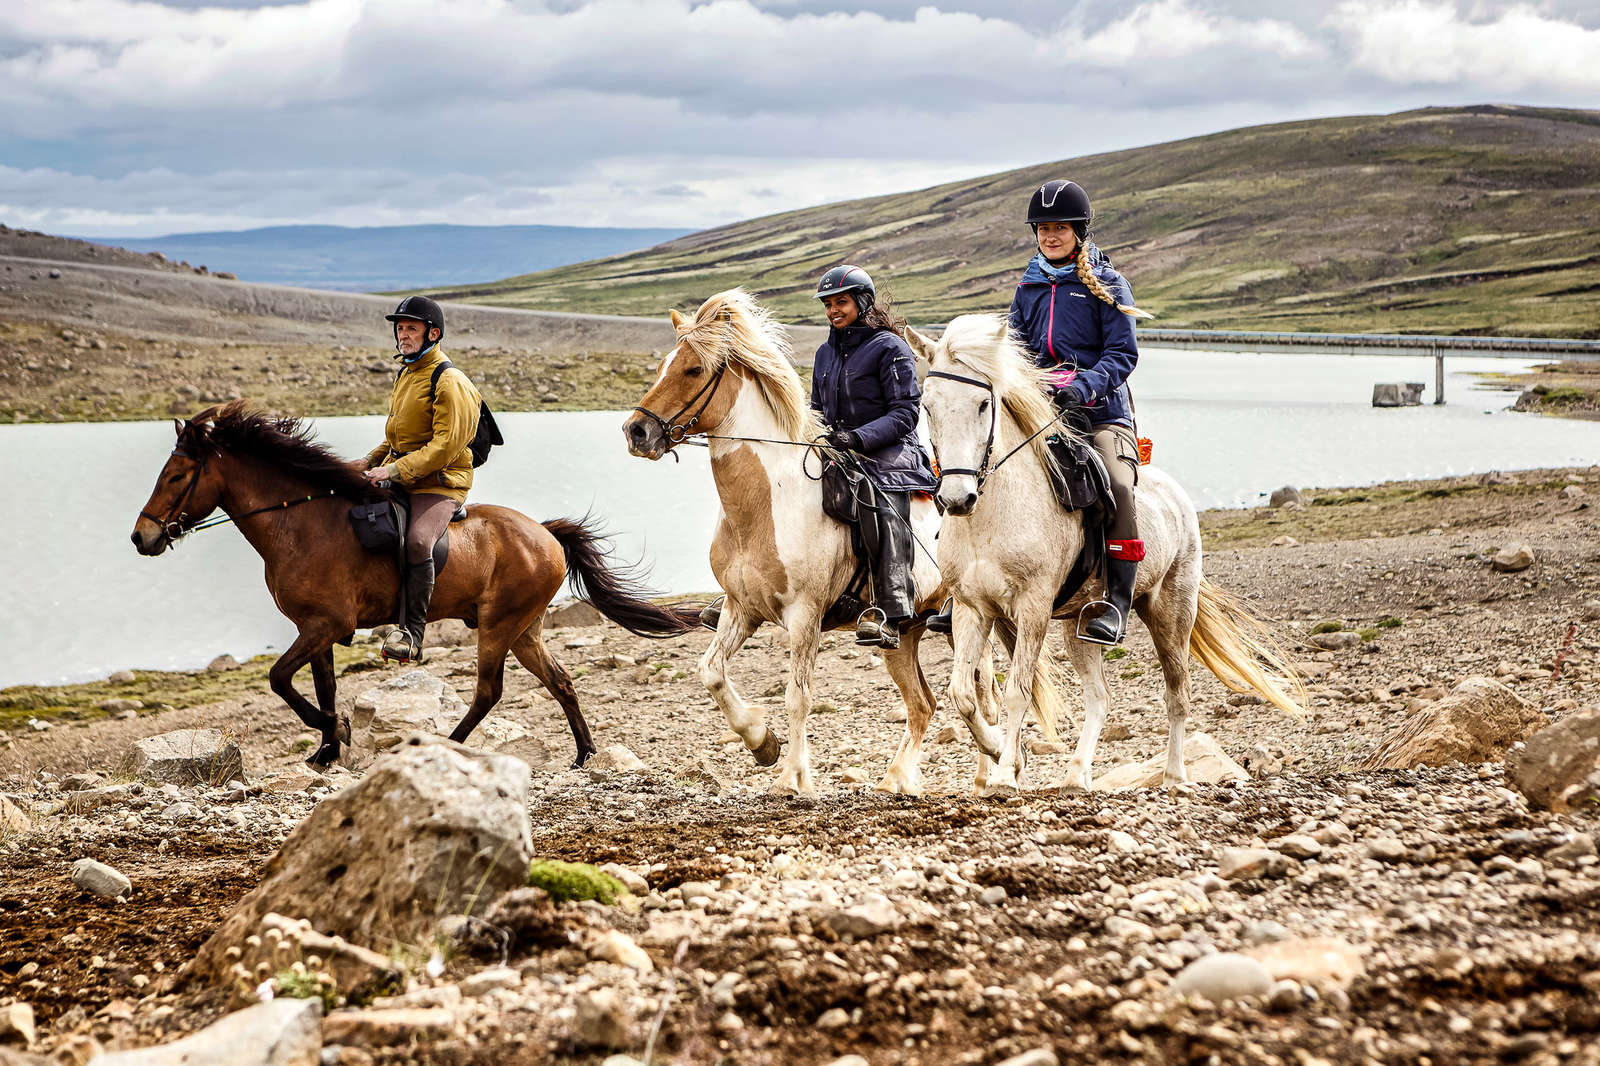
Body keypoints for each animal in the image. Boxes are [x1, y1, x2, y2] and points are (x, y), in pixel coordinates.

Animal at [131, 403, 697, 768]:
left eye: (177, 476)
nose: (142, 537)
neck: (301, 522)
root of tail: (546, 535)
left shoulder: (325, 625)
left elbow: (278, 679)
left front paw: (336, 734)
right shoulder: (315, 629)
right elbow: (319, 687)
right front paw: (327, 750)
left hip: (499, 625)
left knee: (489, 691)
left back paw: (449, 744)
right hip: (526, 629)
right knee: (560, 680)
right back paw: (583, 753)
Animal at [621, 289, 1057, 795]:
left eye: (692, 369)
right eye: (662, 365)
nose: (636, 432)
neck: (767, 501)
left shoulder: (804, 615)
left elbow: (797, 695)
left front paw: (793, 777)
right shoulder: (740, 608)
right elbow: (711, 672)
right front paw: (760, 742)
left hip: (964, 618)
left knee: (982, 694)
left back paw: (991, 769)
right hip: (904, 634)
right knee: (924, 704)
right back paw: (898, 778)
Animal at [908, 315, 1305, 795]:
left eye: (985, 404)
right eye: (928, 406)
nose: (956, 498)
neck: (992, 516)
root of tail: (1176, 495)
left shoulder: (1033, 607)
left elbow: (1018, 691)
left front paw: (1004, 774)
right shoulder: (973, 608)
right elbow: (963, 695)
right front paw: (1003, 753)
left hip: (1170, 613)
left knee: (1178, 693)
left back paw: (1175, 775)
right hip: (1078, 627)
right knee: (1100, 697)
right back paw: (1077, 774)